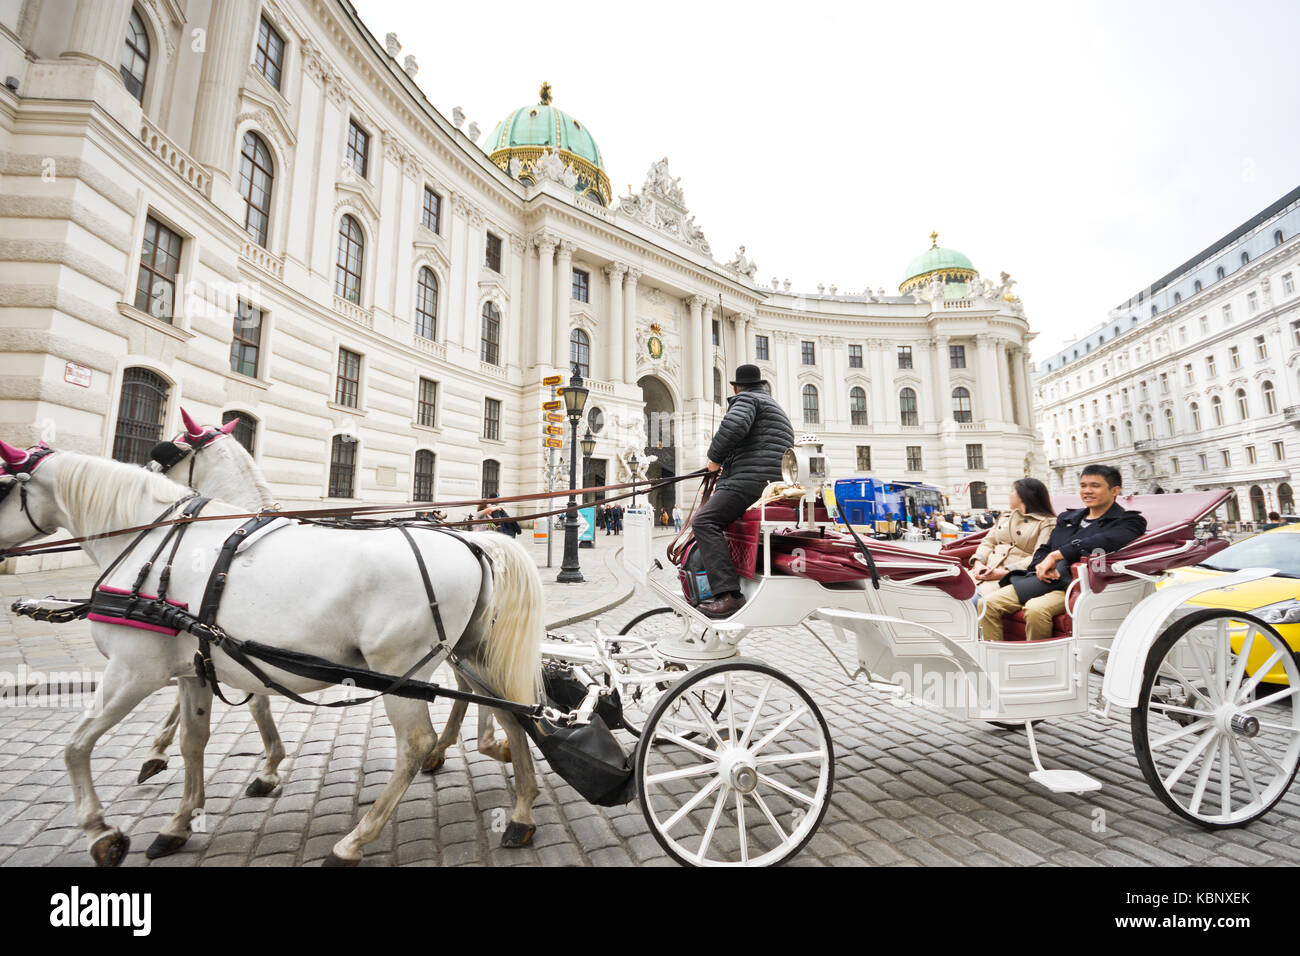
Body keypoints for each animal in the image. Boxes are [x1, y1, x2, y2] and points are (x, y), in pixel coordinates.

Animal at [0, 440, 544, 866]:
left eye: (4, 485)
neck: (154, 544)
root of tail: (474, 544)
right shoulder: (198, 668)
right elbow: (194, 741)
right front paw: (179, 821)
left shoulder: (135, 670)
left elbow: (76, 746)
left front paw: (101, 831)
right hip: (472, 652)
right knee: (513, 712)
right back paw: (519, 809)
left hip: (401, 667)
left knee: (415, 744)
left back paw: (354, 841)